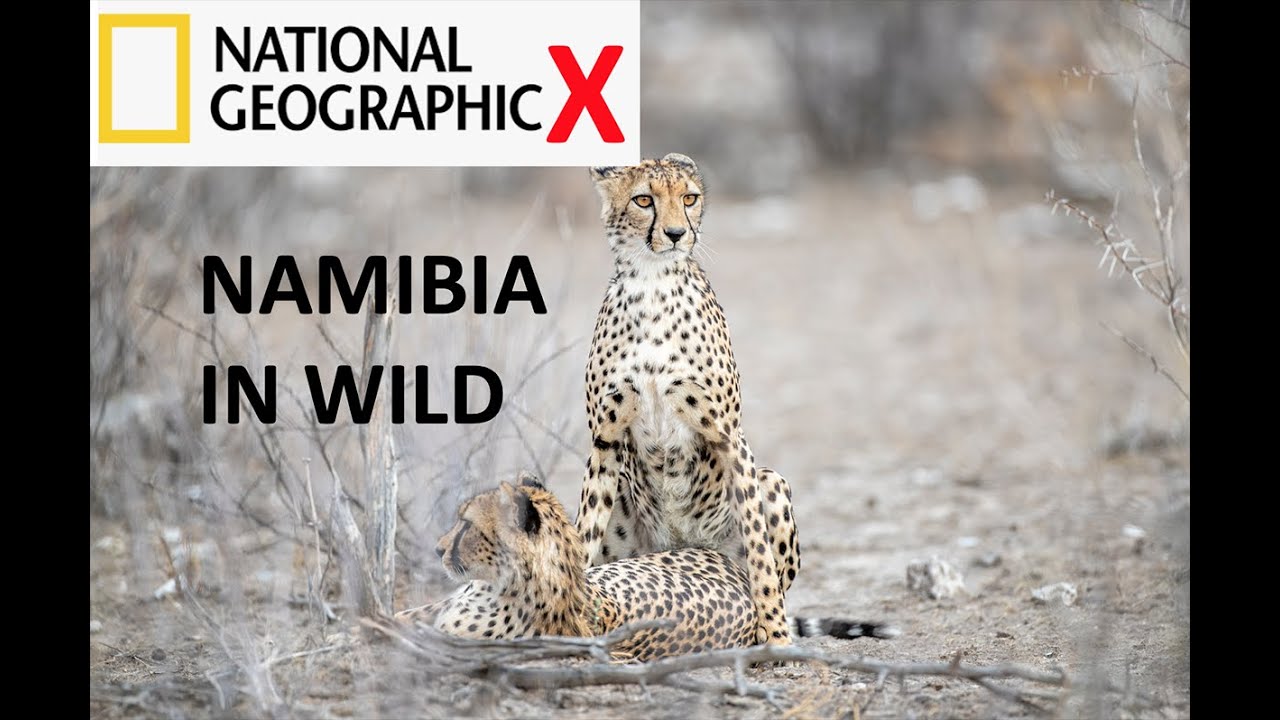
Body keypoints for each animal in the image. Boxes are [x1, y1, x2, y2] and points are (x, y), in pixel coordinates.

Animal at [575, 153, 798, 647]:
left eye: (690, 198)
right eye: (644, 200)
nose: (677, 233)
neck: (652, 284)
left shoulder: (728, 434)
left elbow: (761, 555)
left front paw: (778, 636)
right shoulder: (604, 440)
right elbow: (580, 534)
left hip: (772, 482)